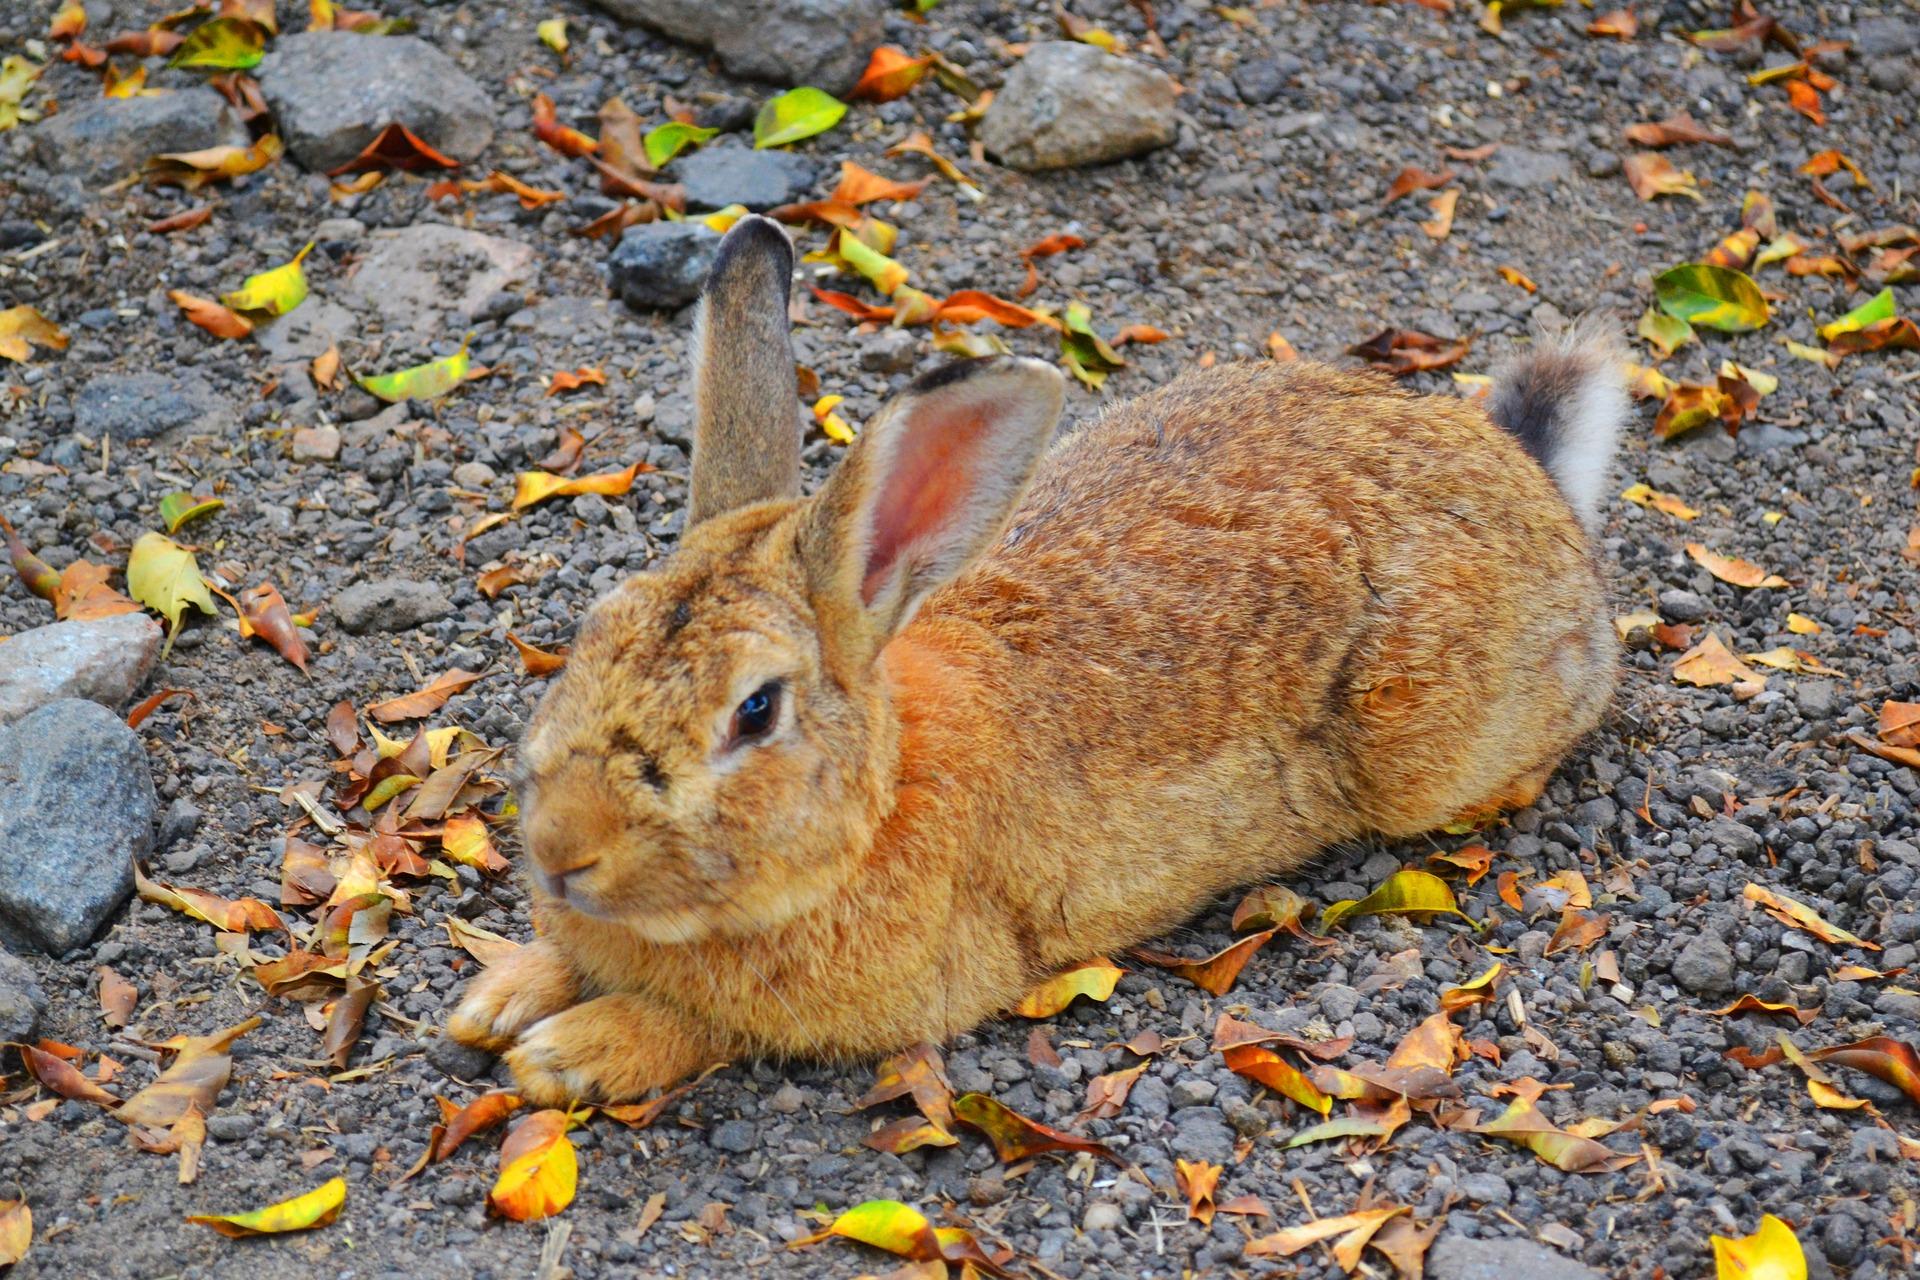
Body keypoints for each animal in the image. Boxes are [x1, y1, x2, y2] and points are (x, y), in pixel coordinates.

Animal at [449, 215, 1626, 1106]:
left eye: (756, 711)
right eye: (592, 629)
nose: (561, 850)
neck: (874, 805)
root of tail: (1530, 480)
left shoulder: (891, 998)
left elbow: (704, 1028)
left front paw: (571, 1050)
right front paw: (499, 998)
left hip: (1428, 742)